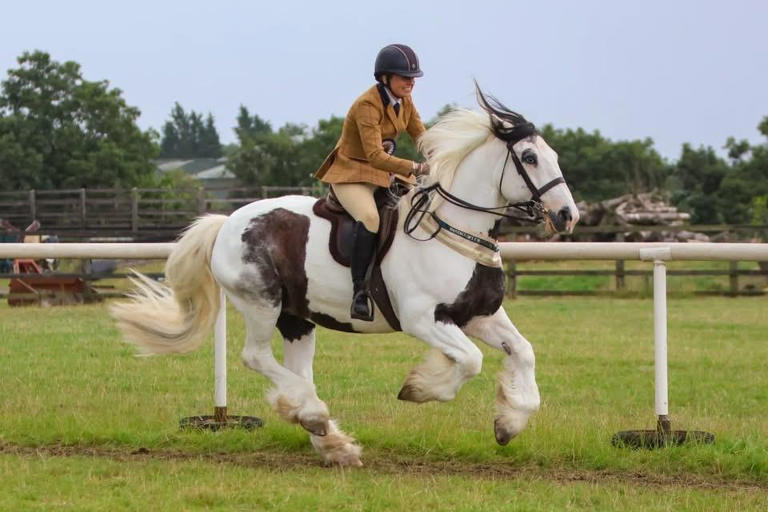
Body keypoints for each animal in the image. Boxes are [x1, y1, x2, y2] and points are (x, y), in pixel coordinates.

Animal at [110, 85, 580, 467]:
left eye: (555, 156)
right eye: (530, 158)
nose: (567, 216)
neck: (454, 227)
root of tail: (227, 222)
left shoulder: (478, 315)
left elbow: (523, 352)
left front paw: (509, 422)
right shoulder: (423, 319)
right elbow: (470, 360)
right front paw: (420, 388)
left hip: (297, 318)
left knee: (295, 371)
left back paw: (330, 439)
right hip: (262, 303)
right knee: (256, 357)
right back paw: (314, 415)